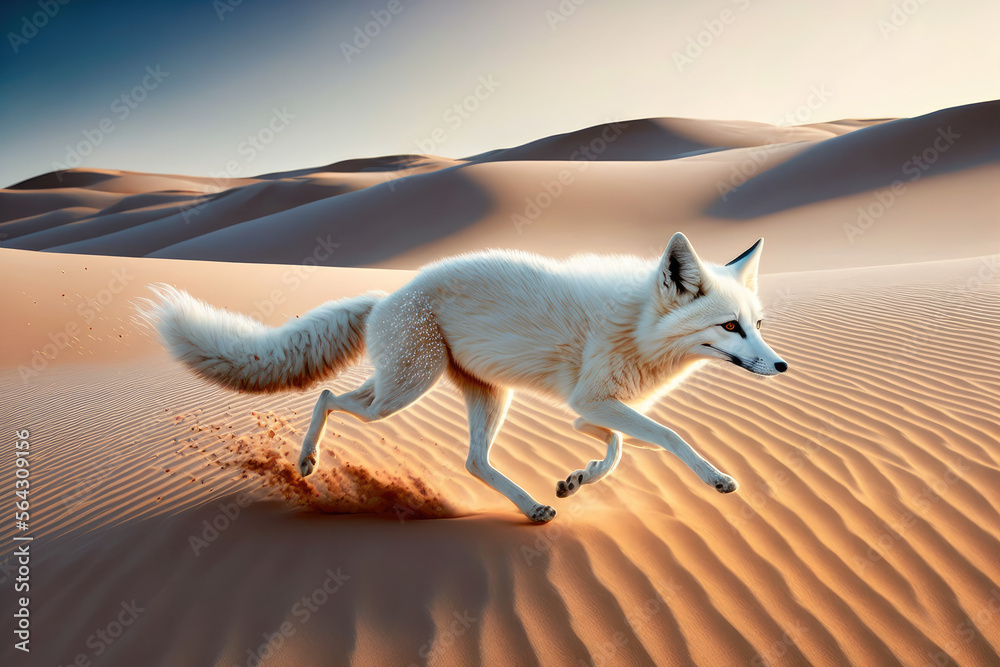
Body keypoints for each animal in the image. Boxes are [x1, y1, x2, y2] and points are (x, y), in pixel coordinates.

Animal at [142, 233, 787, 523]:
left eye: (756, 325)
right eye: (729, 326)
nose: (781, 366)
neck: (640, 327)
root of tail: (385, 297)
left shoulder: (591, 406)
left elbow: (620, 448)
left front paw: (577, 479)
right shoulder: (594, 400)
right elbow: (668, 438)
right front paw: (717, 480)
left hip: (480, 395)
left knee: (474, 462)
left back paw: (533, 507)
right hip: (405, 391)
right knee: (328, 395)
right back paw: (305, 462)